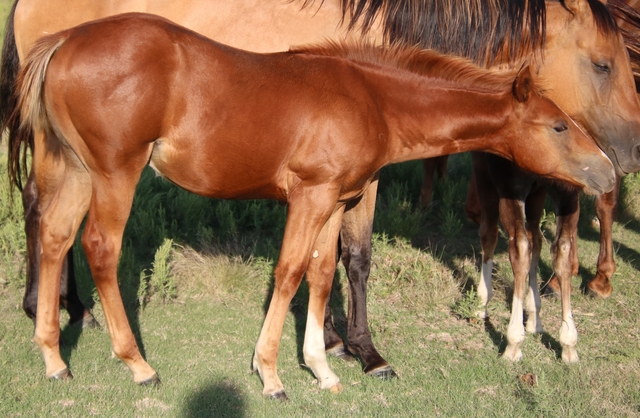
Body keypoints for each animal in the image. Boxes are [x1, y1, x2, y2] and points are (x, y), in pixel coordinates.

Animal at [2, 0, 640, 379]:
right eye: (558, 126)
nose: (611, 171)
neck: (371, 97)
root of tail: (61, 43)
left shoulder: (339, 198)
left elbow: (323, 270)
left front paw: (326, 360)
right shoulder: (311, 196)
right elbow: (291, 271)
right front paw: (274, 373)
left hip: (73, 169)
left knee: (53, 235)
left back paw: (54, 353)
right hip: (115, 173)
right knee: (99, 249)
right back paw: (135, 362)